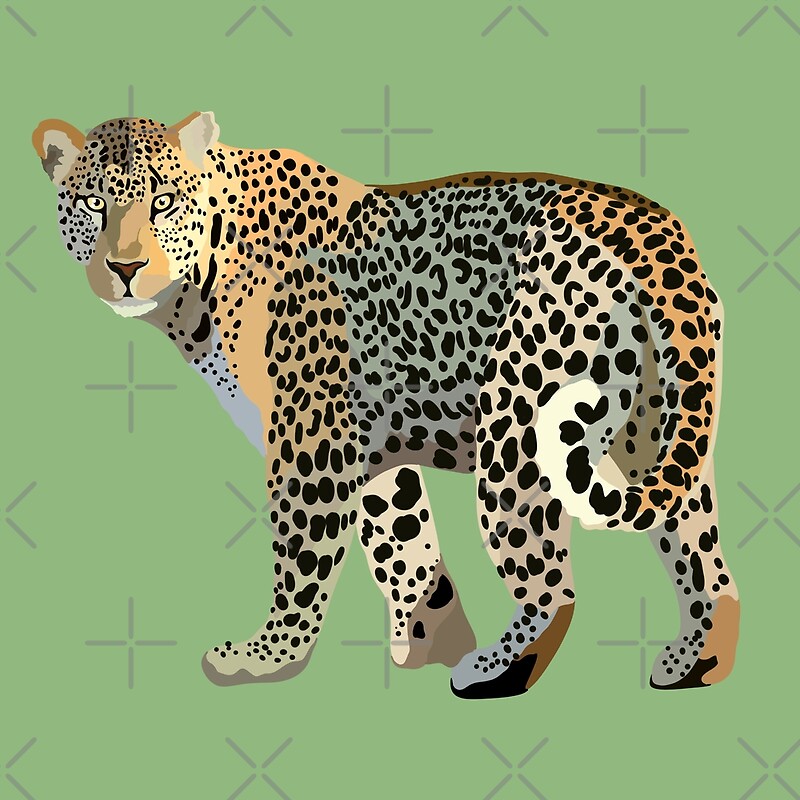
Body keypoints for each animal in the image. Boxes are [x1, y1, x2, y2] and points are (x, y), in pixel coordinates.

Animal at [32, 111, 740, 699]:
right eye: (94, 203)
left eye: (163, 202)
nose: (125, 268)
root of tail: (651, 227)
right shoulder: (371, 448)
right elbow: (404, 542)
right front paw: (428, 637)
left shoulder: (311, 441)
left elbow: (304, 554)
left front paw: (268, 657)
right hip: (660, 422)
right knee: (701, 549)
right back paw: (695, 662)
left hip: (517, 421)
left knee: (552, 585)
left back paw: (494, 671)